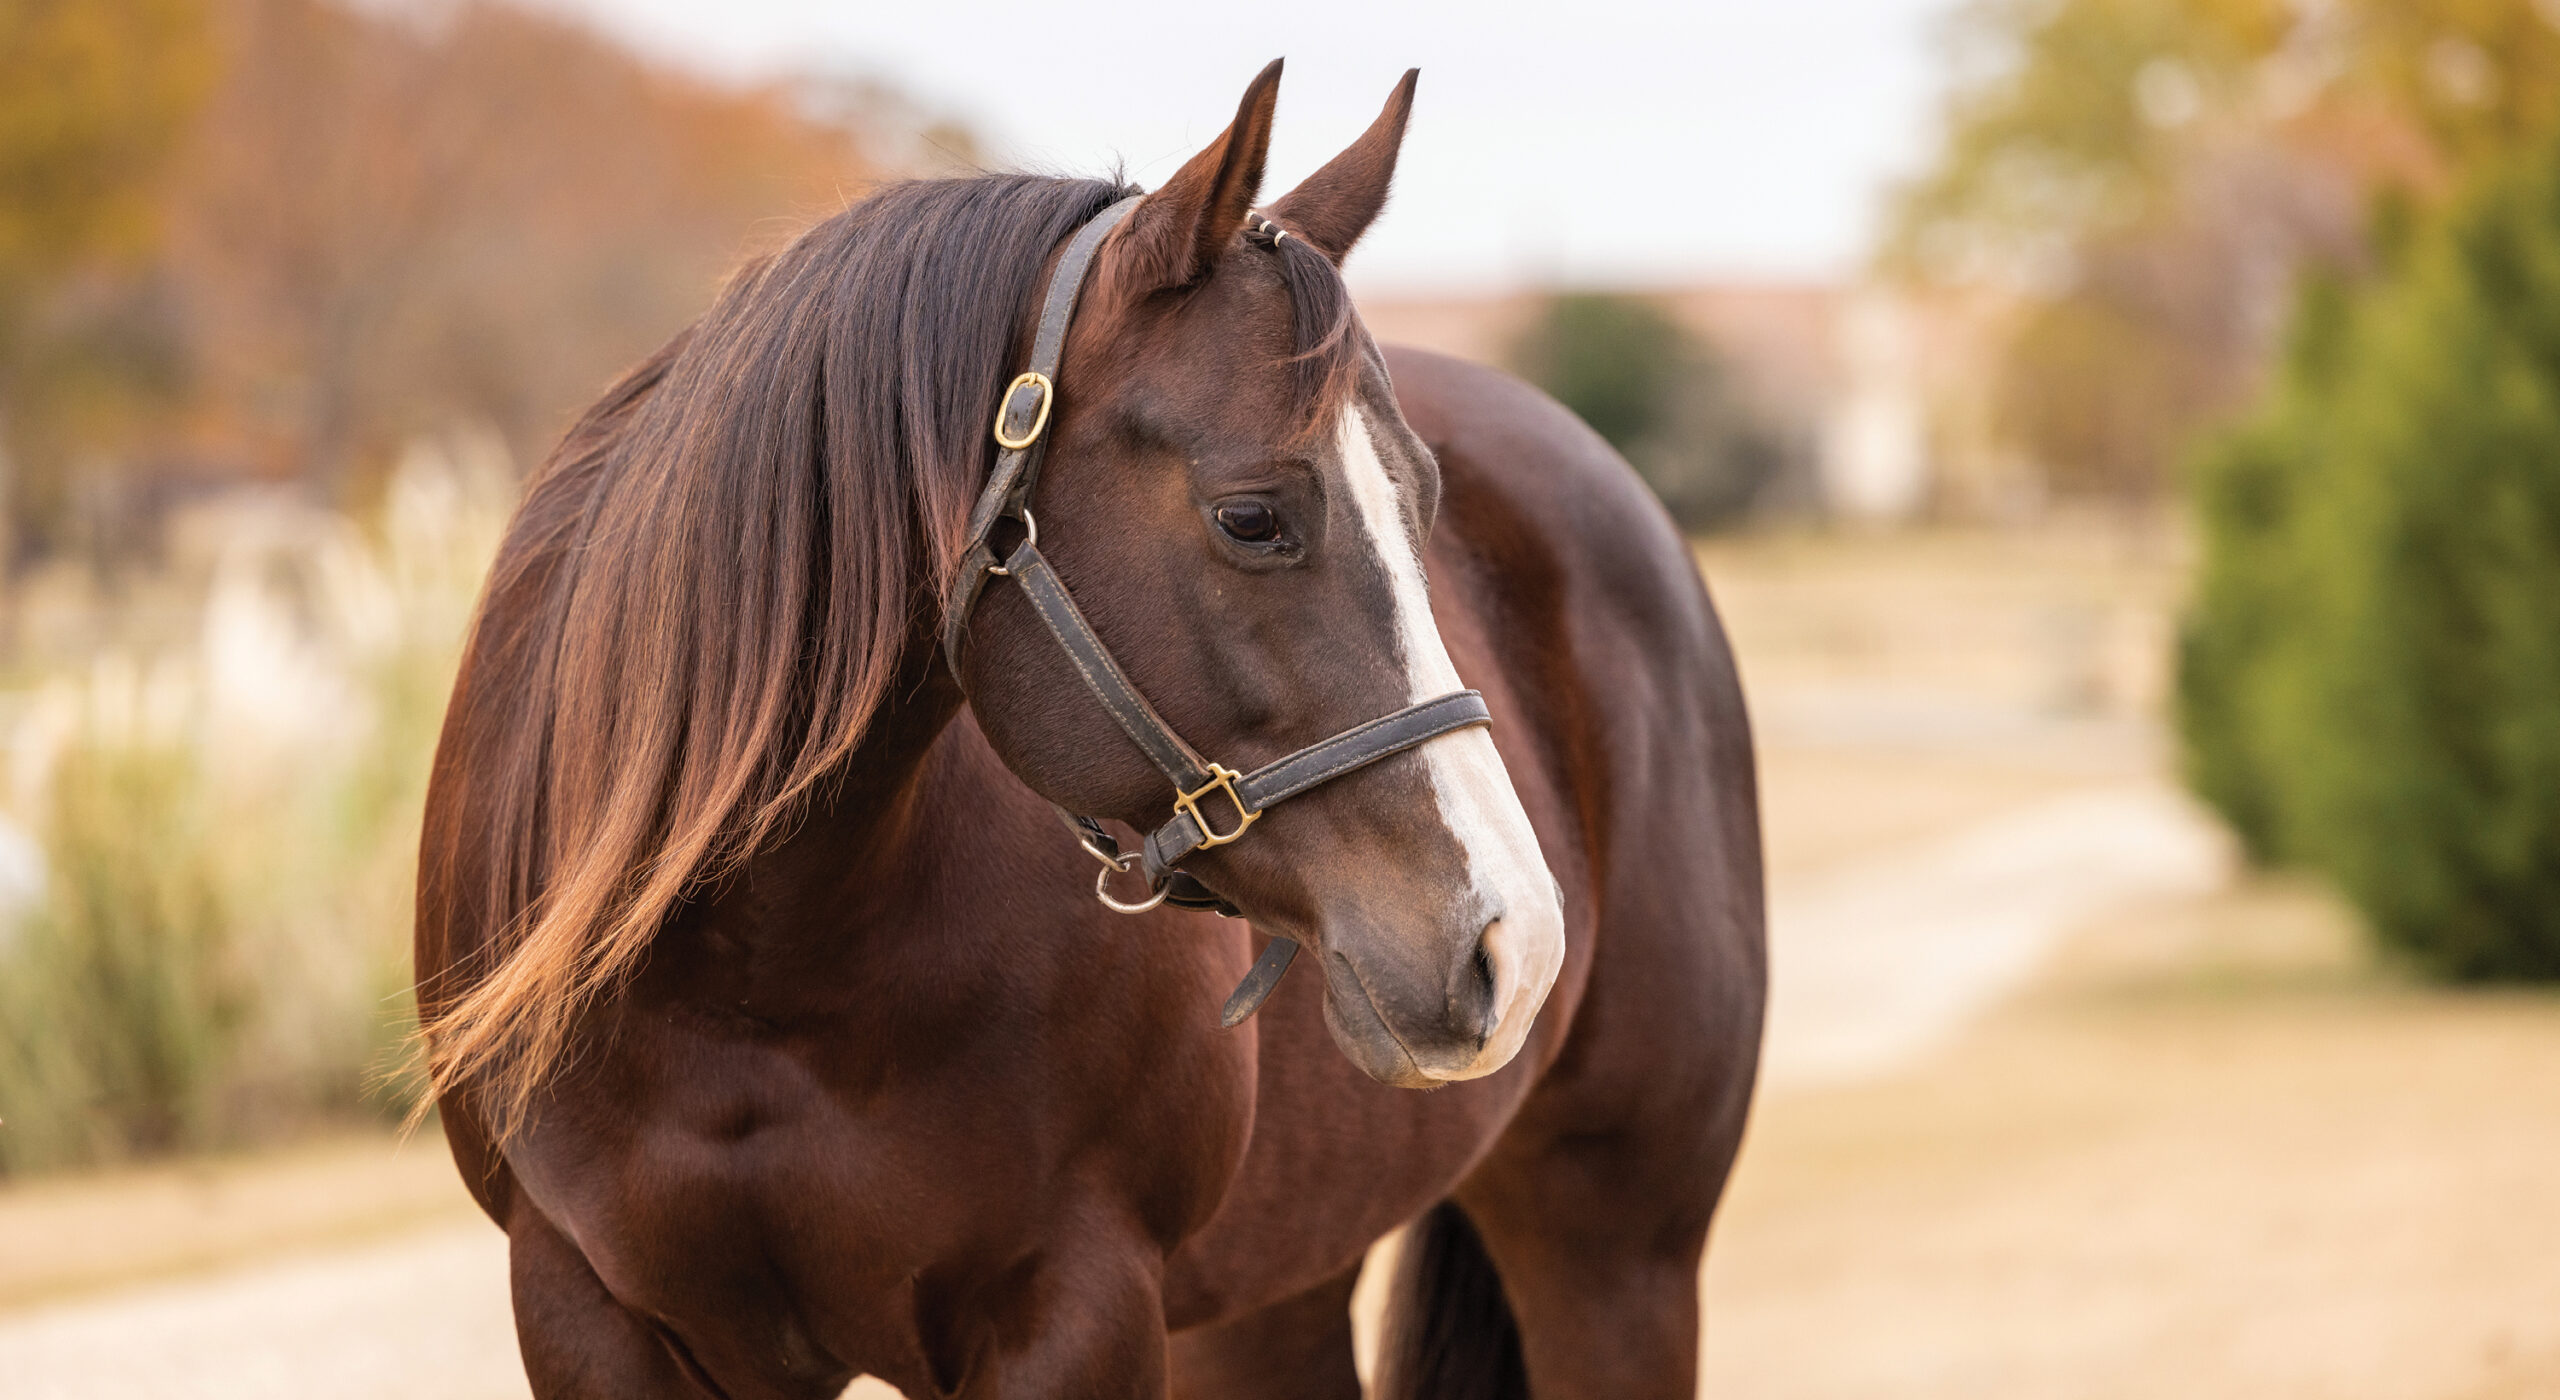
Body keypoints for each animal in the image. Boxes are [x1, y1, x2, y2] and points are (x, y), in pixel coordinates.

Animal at [414, 60, 1764, 1399]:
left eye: (1424, 502)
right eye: (1251, 517)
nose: (1514, 941)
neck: (747, 970)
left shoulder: (1074, 1309)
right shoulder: (588, 1312)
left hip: (1616, 1252)